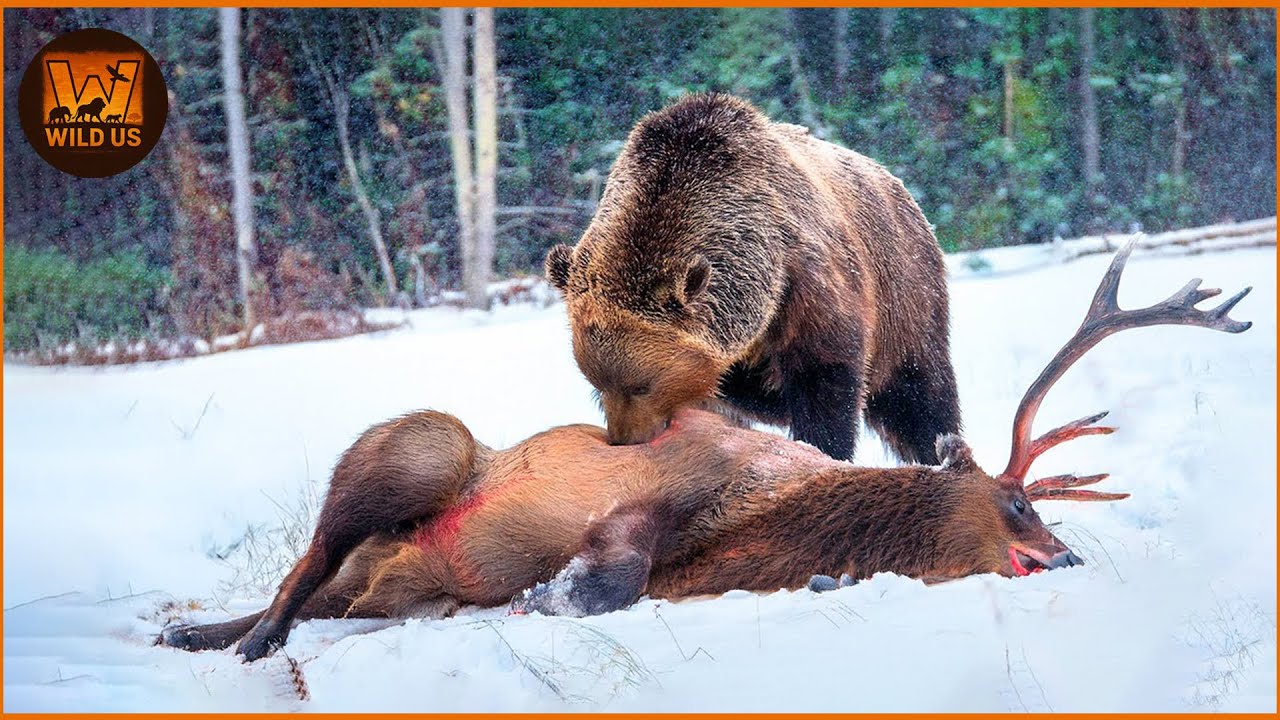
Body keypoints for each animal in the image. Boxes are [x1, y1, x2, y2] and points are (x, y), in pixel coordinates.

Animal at [545, 93, 960, 464]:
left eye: (643, 384)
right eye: (595, 383)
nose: (625, 440)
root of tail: (898, 185)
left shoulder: (806, 284)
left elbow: (825, 376)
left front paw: (821, 447)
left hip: (906, 297)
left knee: (918, 396)